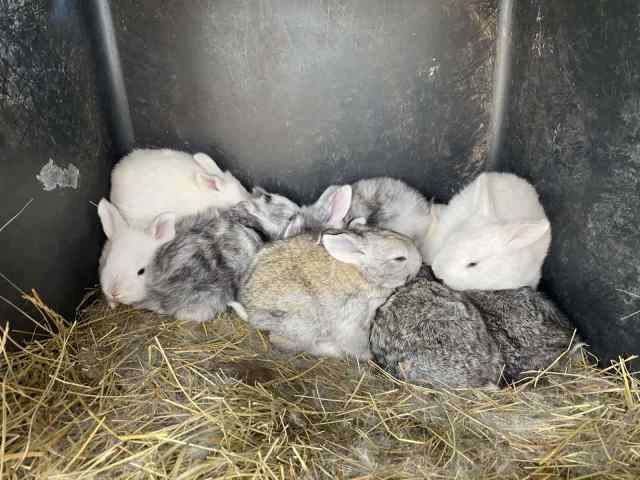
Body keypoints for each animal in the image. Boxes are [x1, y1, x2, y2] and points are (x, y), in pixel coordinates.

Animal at [236, 226, 422, 359]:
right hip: (304, 323)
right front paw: (368, 357)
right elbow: (355, 341)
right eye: (399, 258)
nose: (420, 261)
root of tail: (251, 312)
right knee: (284, 341)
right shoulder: (353, 316)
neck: (364, 273)